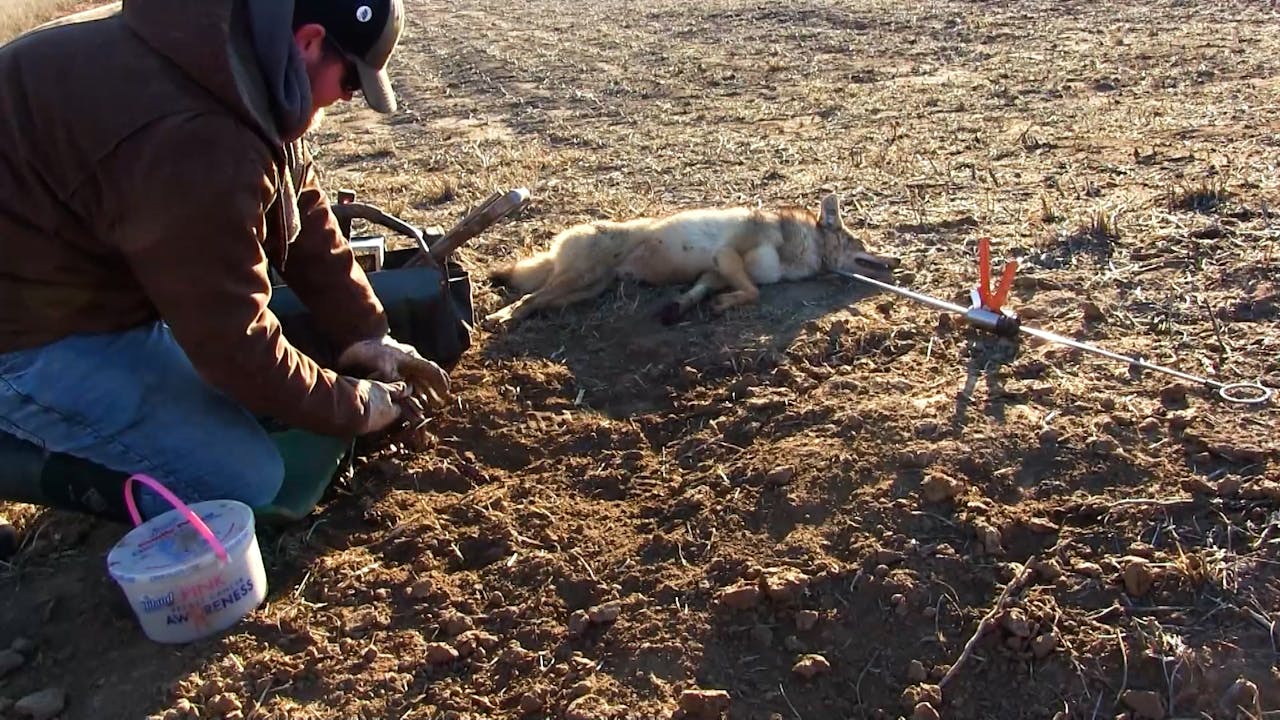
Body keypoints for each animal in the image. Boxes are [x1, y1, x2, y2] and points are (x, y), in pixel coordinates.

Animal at [483, 193, 900, 328]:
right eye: (861, 242)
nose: (897, 259)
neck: (802, 247)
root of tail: (561, 240)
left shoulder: (713, 272)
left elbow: (704, 293)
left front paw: (682, 307)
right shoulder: (726, 256)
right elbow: (753, 292)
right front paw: (724, 304)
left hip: (584, 290)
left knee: (537, 301)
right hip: (578, 280)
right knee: (528, 298)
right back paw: (499, 318)